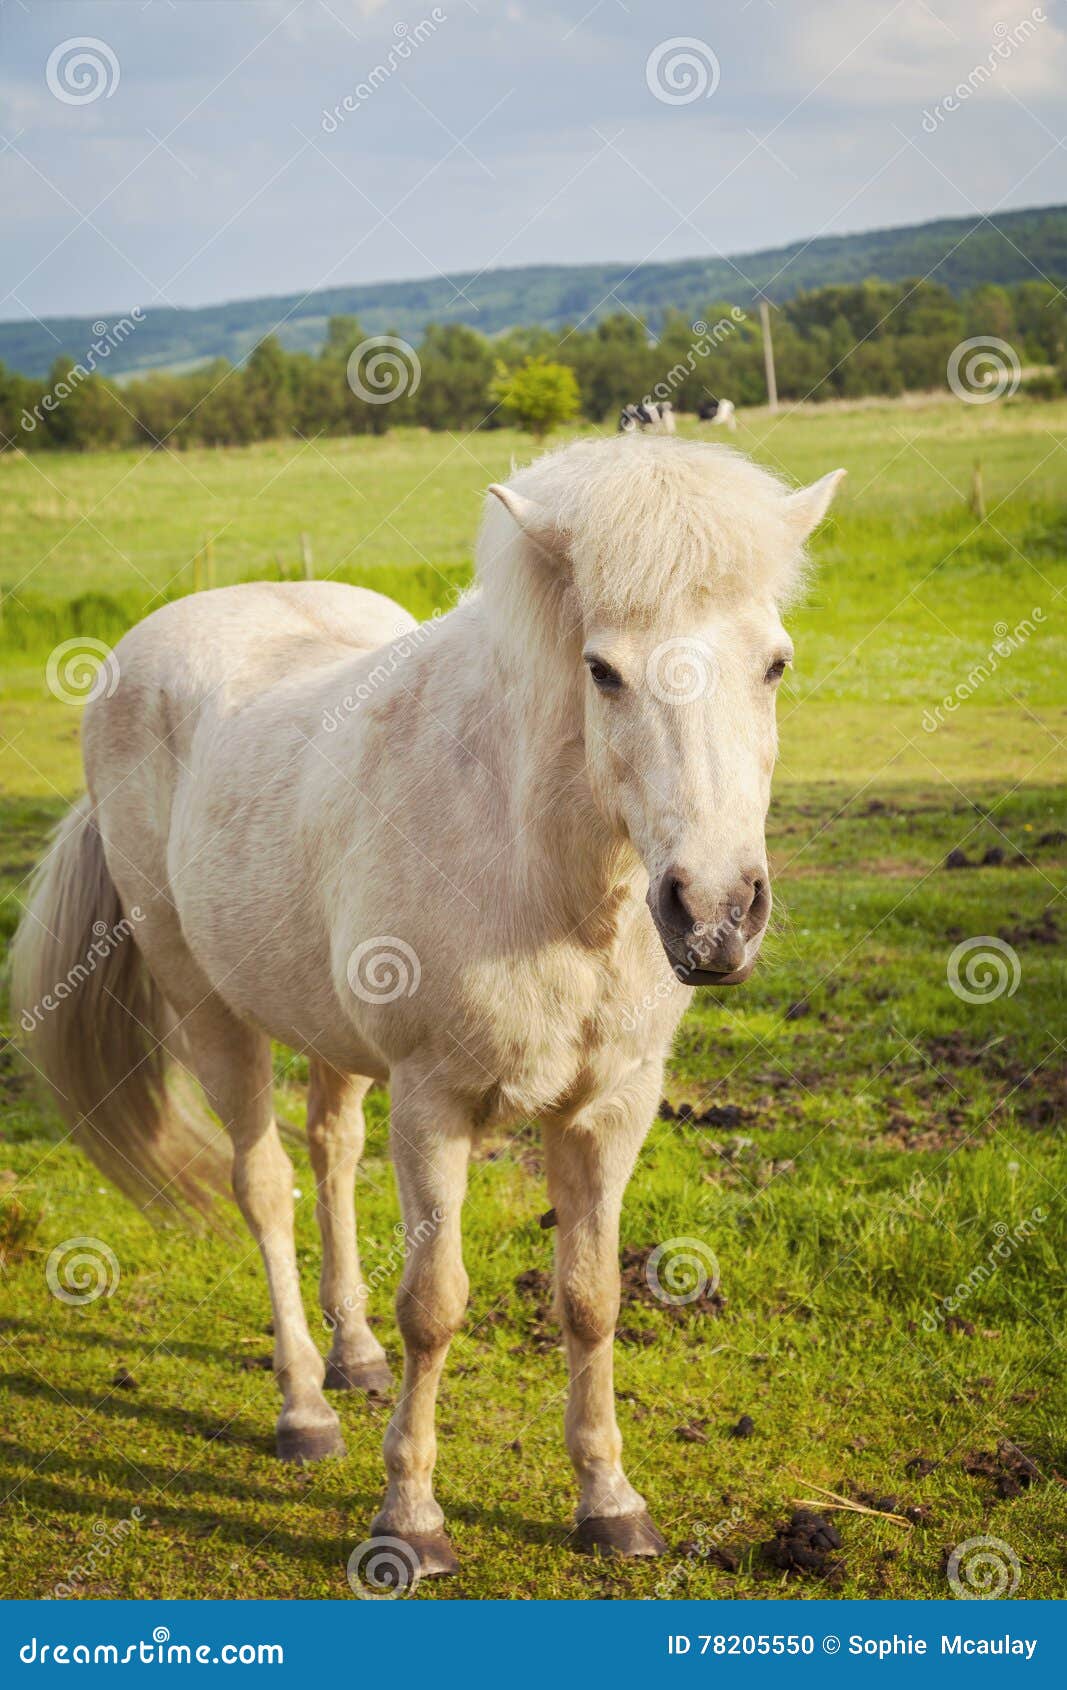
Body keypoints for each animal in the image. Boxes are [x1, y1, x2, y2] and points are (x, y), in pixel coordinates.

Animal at [12, 435, 844, 1579]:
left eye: (773, 663)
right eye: (602, 670)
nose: (714, 914)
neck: (544, 876)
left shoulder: (609, 1109)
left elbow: (591, 1298)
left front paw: (611, 1504)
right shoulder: (436, 1104)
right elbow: (436, 1306)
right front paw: (410, 1519)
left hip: (327, 1032)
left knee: (328, 1151)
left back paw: (353, 1359)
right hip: (208, 1008)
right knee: (264, 1186)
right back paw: (305, 1409)